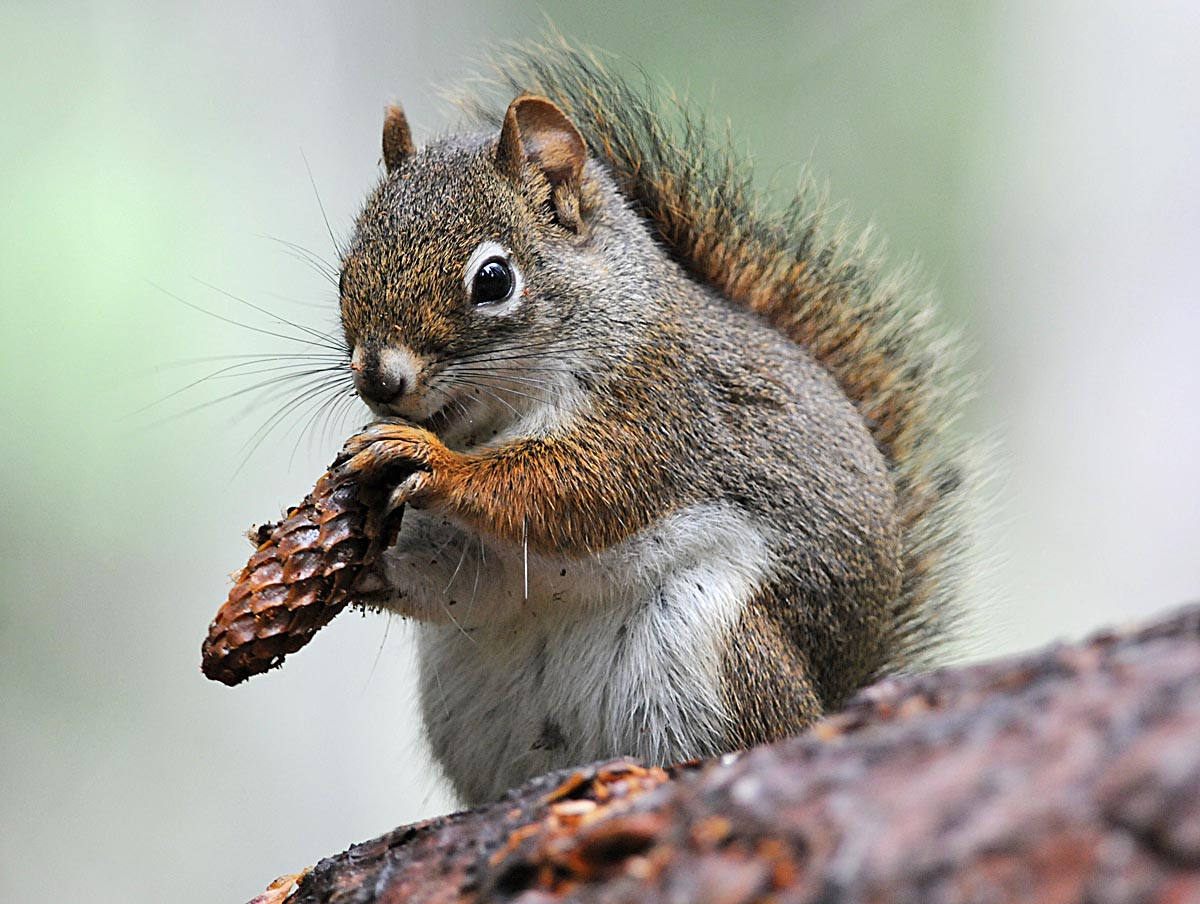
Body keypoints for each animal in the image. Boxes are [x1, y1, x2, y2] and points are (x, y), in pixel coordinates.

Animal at [331, 41, 968, 806]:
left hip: (718, 649)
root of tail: (828, 701)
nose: (379, 379)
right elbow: (468, 573)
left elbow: (571, 490)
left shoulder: (660, 411)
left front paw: (432, 462)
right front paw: (361, 562)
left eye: (493, 280)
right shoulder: (487, 558)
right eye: (345, 272)